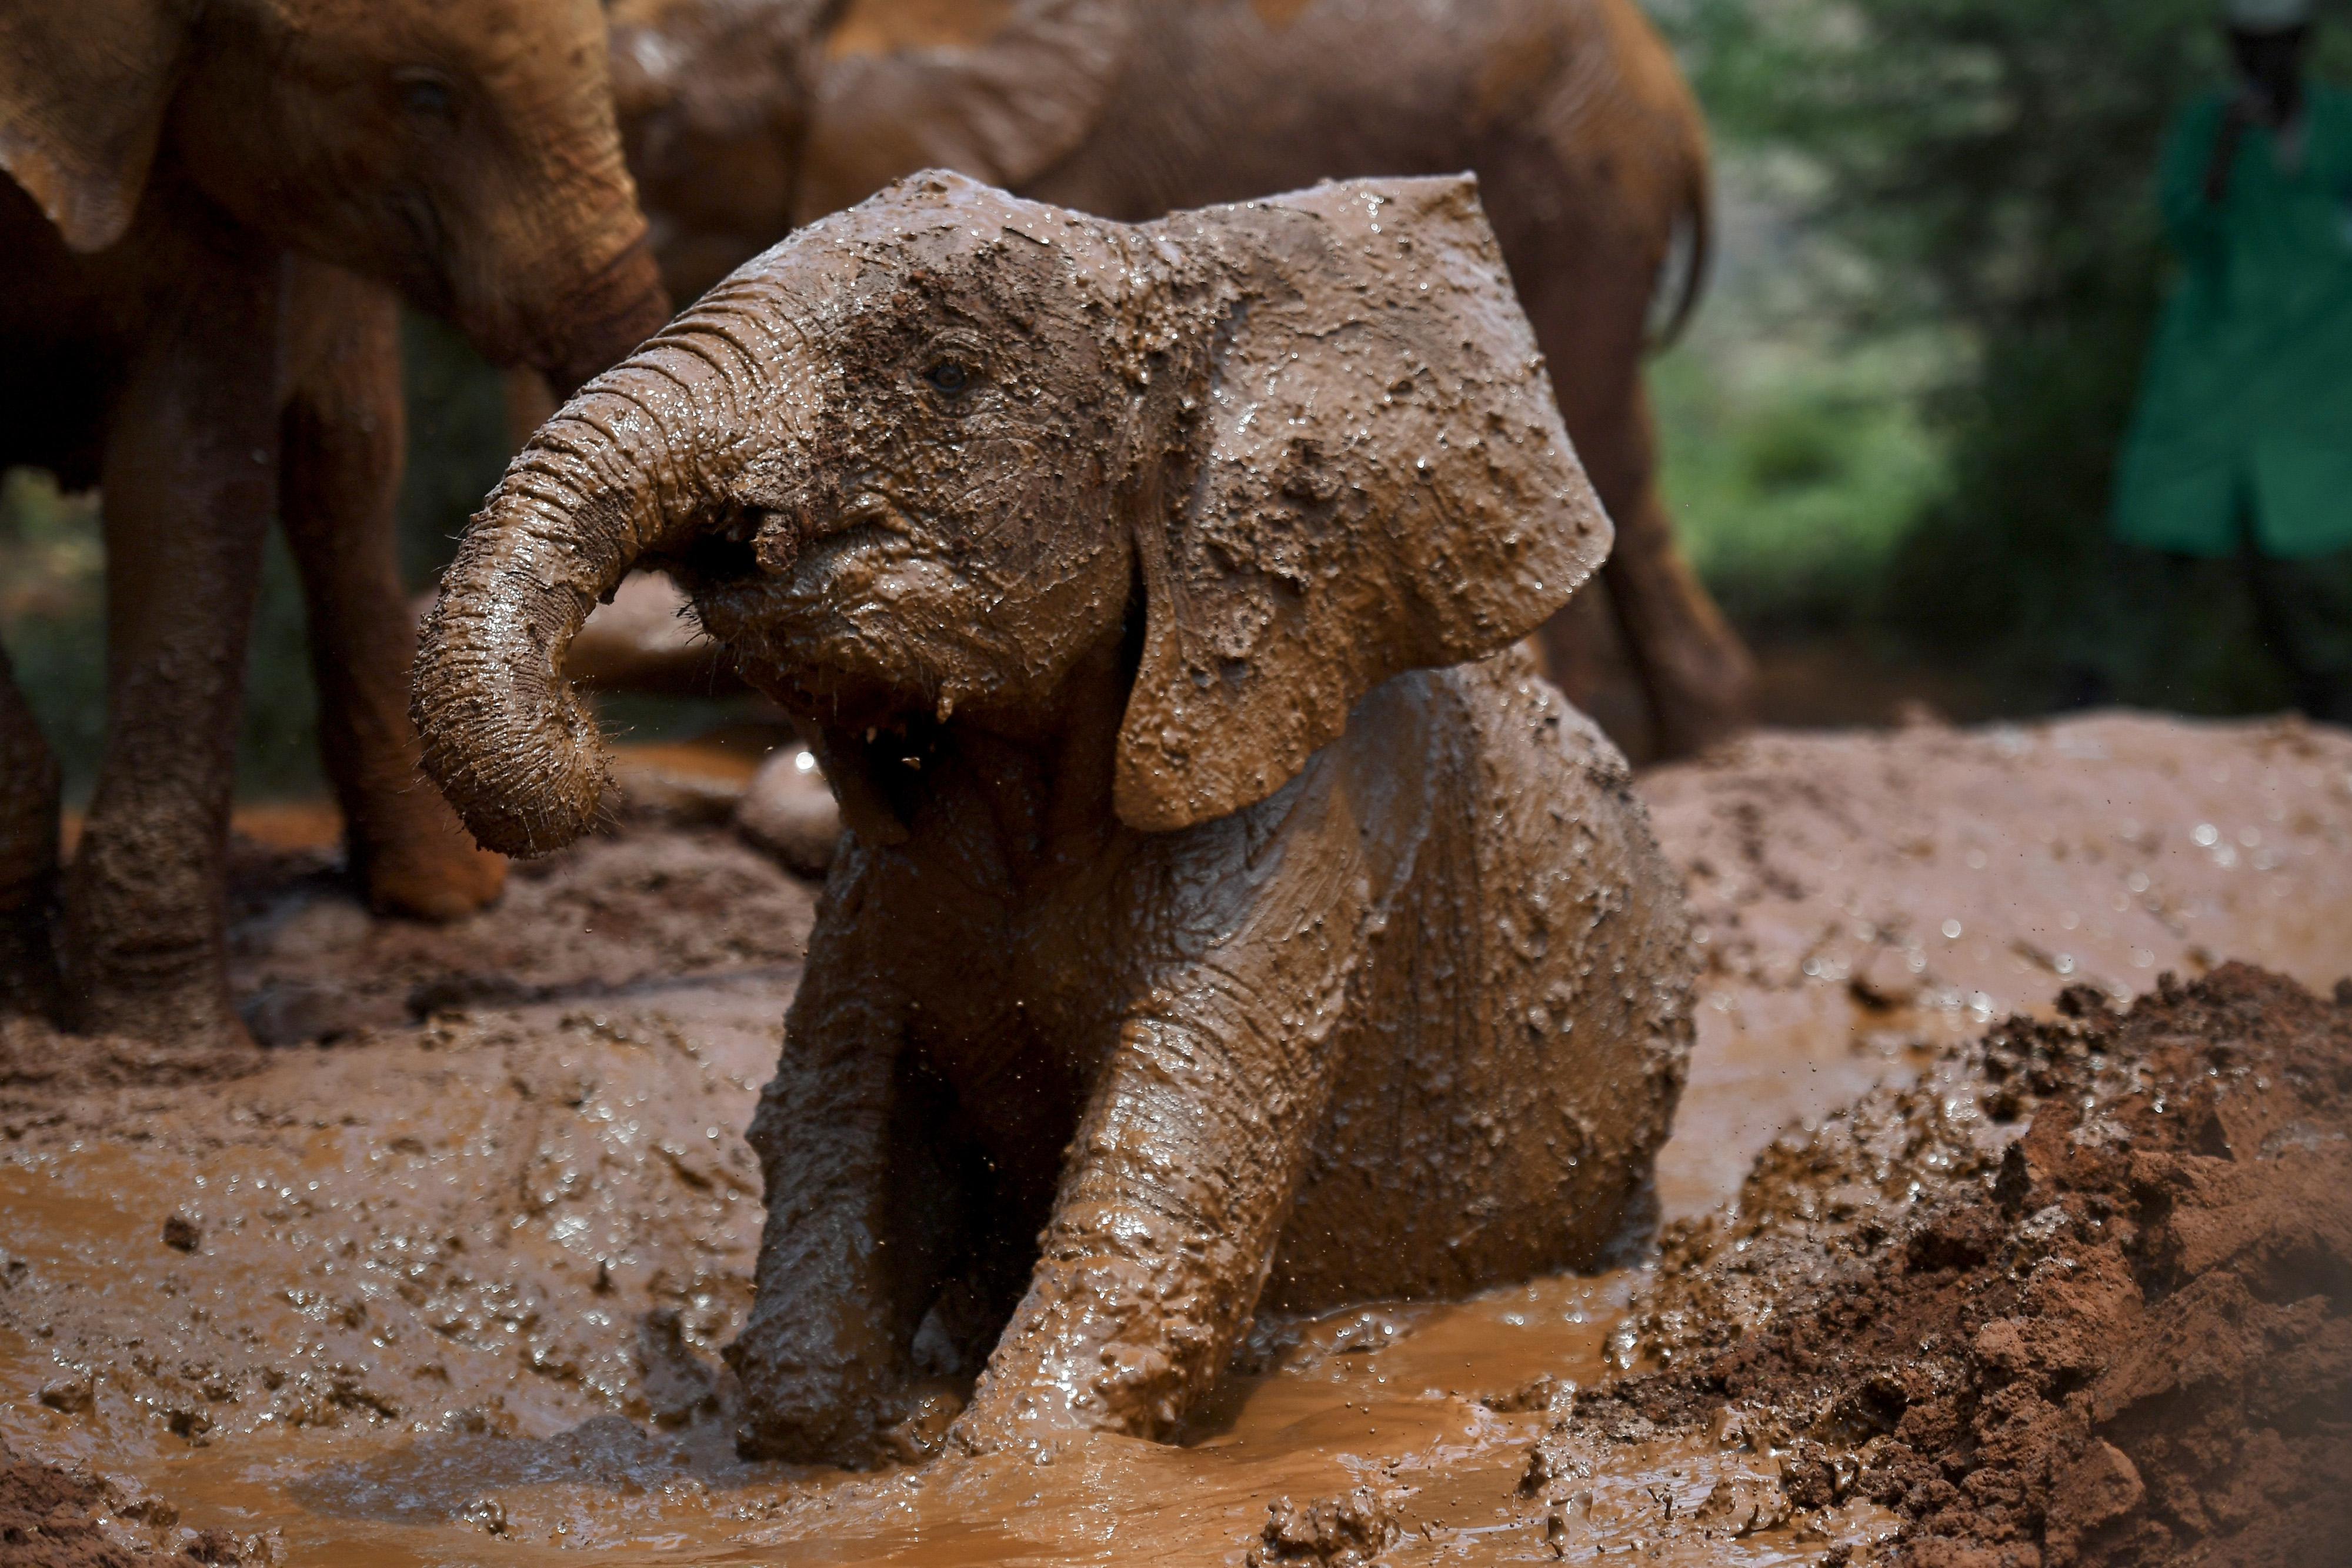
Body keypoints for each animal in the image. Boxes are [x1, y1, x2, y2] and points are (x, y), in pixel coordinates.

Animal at [0, 0, 669, 1048]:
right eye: (425, 96)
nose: (579, 729)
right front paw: (65, 1021)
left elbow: (193, 467)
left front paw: (159, 1045)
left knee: (344, 474)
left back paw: (442, 899)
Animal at [415, 172, 1694, 1464]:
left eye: (947, 374)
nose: (586, 735)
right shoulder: (883, 870)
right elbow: (844, 1113)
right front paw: (888, 1427)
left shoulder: (1293, 790)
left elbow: (1173, 1185)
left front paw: (994, 1455)